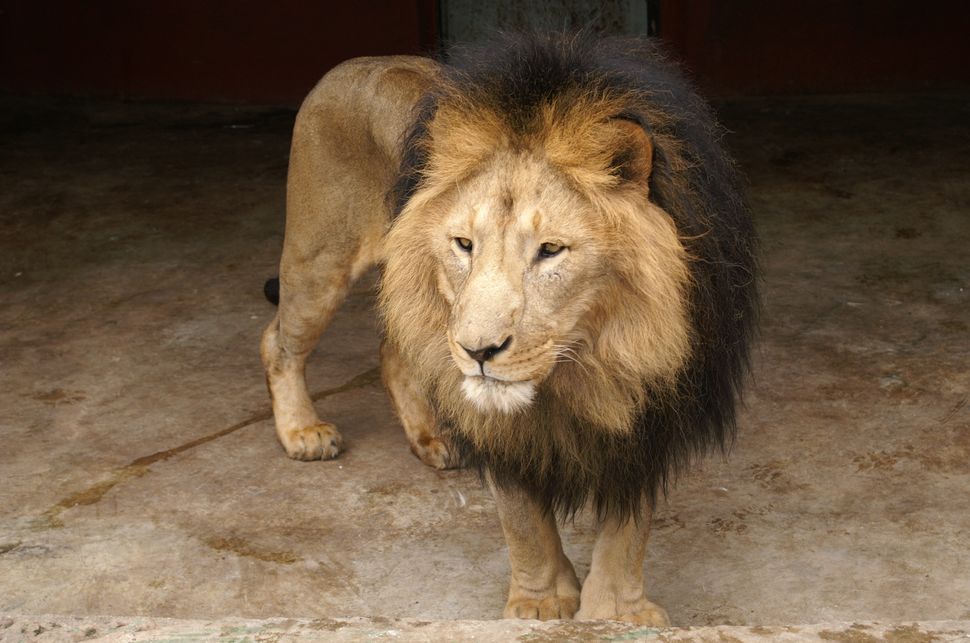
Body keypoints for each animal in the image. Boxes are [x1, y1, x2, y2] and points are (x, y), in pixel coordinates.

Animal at [261, 33, 758, 624]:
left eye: (550, 251)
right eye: (463, 244)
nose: (477, 350)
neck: (586, 360)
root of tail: (355, 64)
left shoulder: (653, 408)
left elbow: (627, 530)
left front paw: (616, 613)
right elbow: (523, 521)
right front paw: (541, 606)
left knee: (394, 351)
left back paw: (431, 438)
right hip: (320, 261)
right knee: (278, 342)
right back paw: (302, 432)